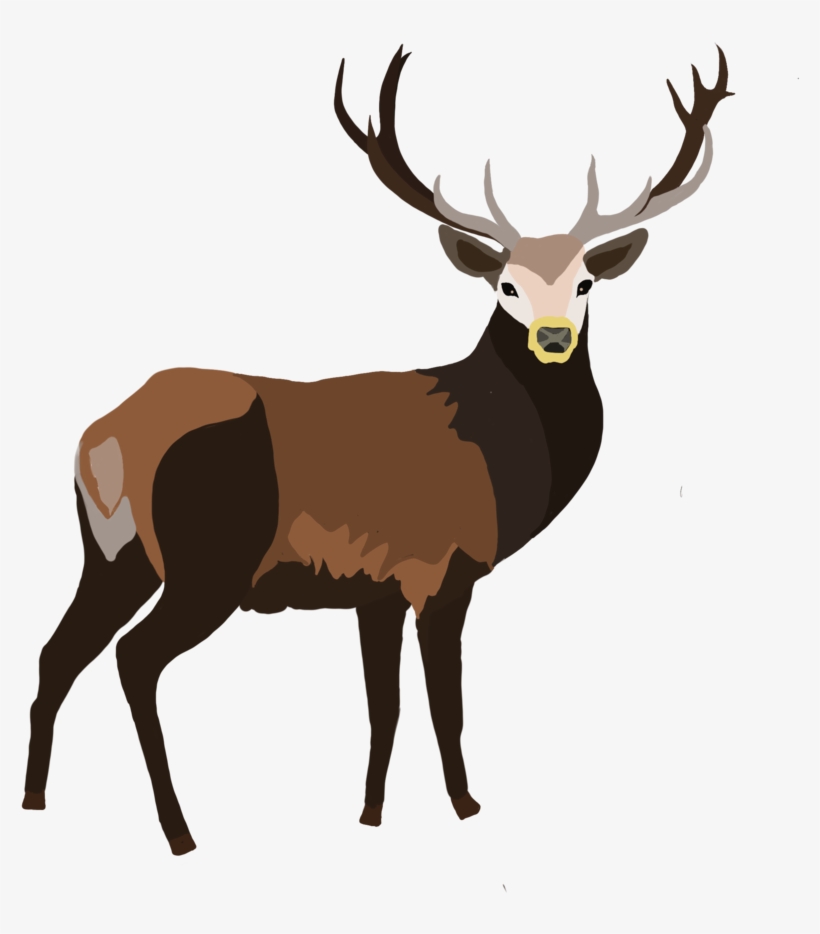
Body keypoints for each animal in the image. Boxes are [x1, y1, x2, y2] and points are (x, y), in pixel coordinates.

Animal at [22, 45, 732, 856]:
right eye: (506, 286)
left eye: (585, 283)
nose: (553, 338)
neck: (498, 454)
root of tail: (103, 439)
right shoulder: (445, 569)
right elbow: (445, 703)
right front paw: (465, 806)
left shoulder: (375, 585)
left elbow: (382, 706)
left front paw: (370, 813)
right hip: (209, 561)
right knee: (134, 659)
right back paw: (179, 831)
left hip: (113, 552)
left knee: (56, 651)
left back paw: (36, 799)